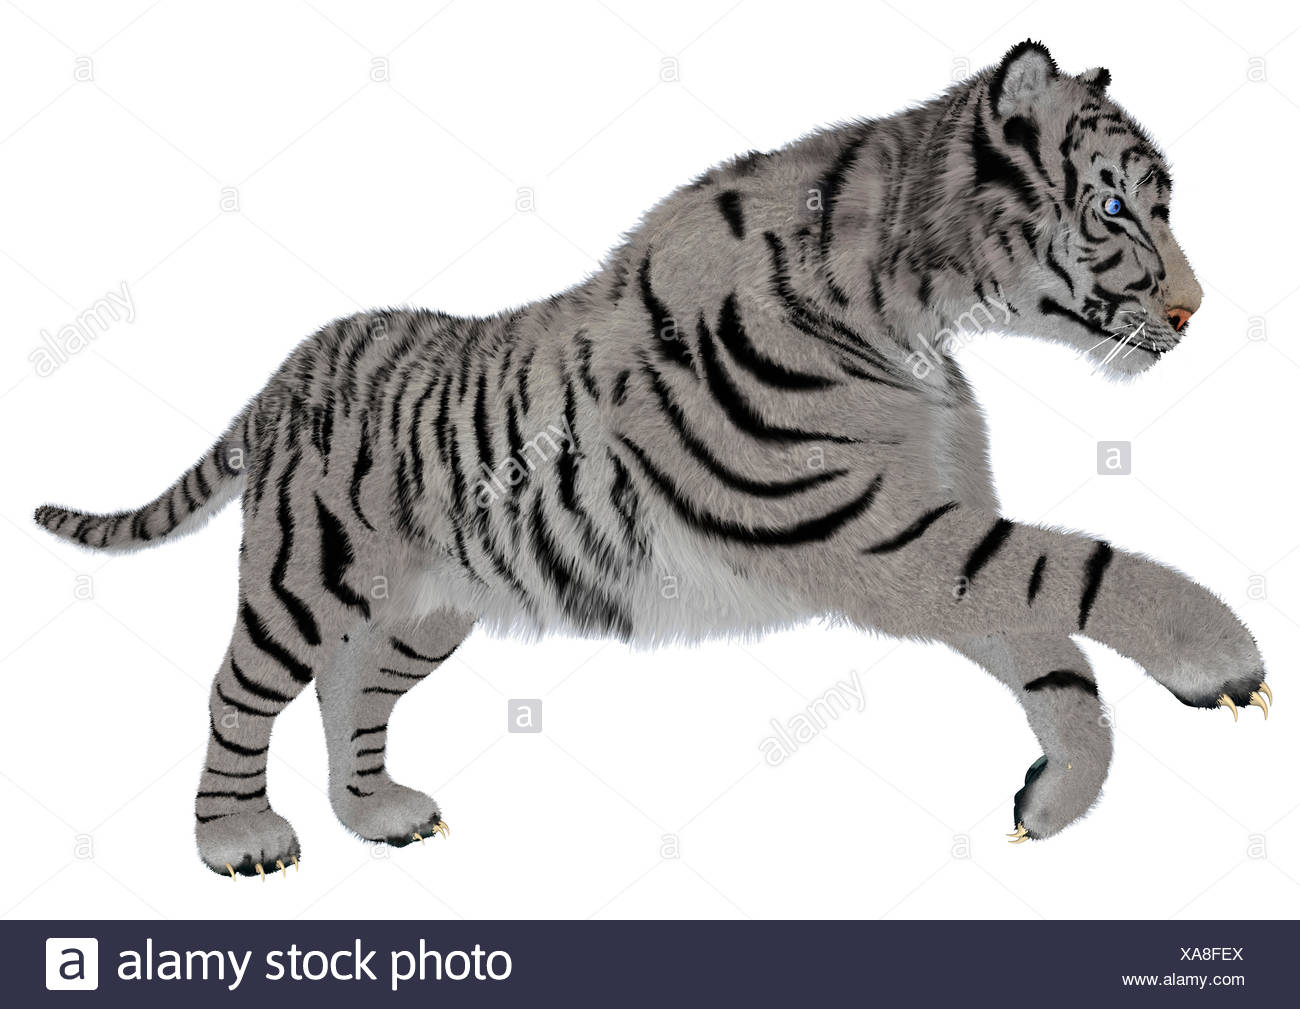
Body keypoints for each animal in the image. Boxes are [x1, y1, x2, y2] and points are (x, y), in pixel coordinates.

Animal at [36, 40, 1271, 878]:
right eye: (1116, 206)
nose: (1196, 311)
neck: (921, 315)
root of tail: (288, 369)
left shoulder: (917, 534)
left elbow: (1043, 643)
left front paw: (1053, 797)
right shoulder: (870, 532)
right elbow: (1079, 568)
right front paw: (1222, 653)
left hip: (427, 611)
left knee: (351, 685)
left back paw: (380, 814)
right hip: (305, 579)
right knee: (236, 688)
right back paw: (241, 839)